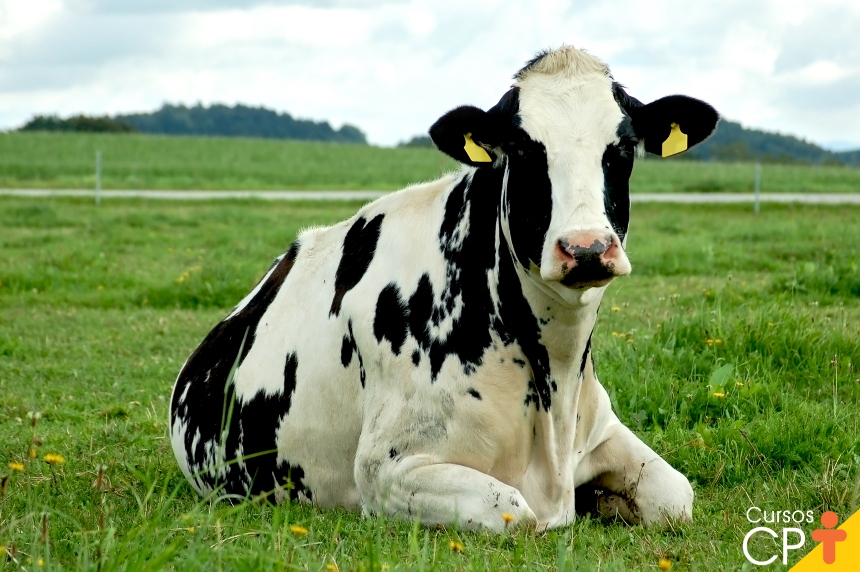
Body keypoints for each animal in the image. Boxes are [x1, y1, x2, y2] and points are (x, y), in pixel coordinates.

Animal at [169, 45, 719, 532]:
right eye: (522, 148)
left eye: (622, 148)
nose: (585, 248)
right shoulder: (387, 470)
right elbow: (516, 512)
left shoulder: (601, 431)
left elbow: (676, 495)